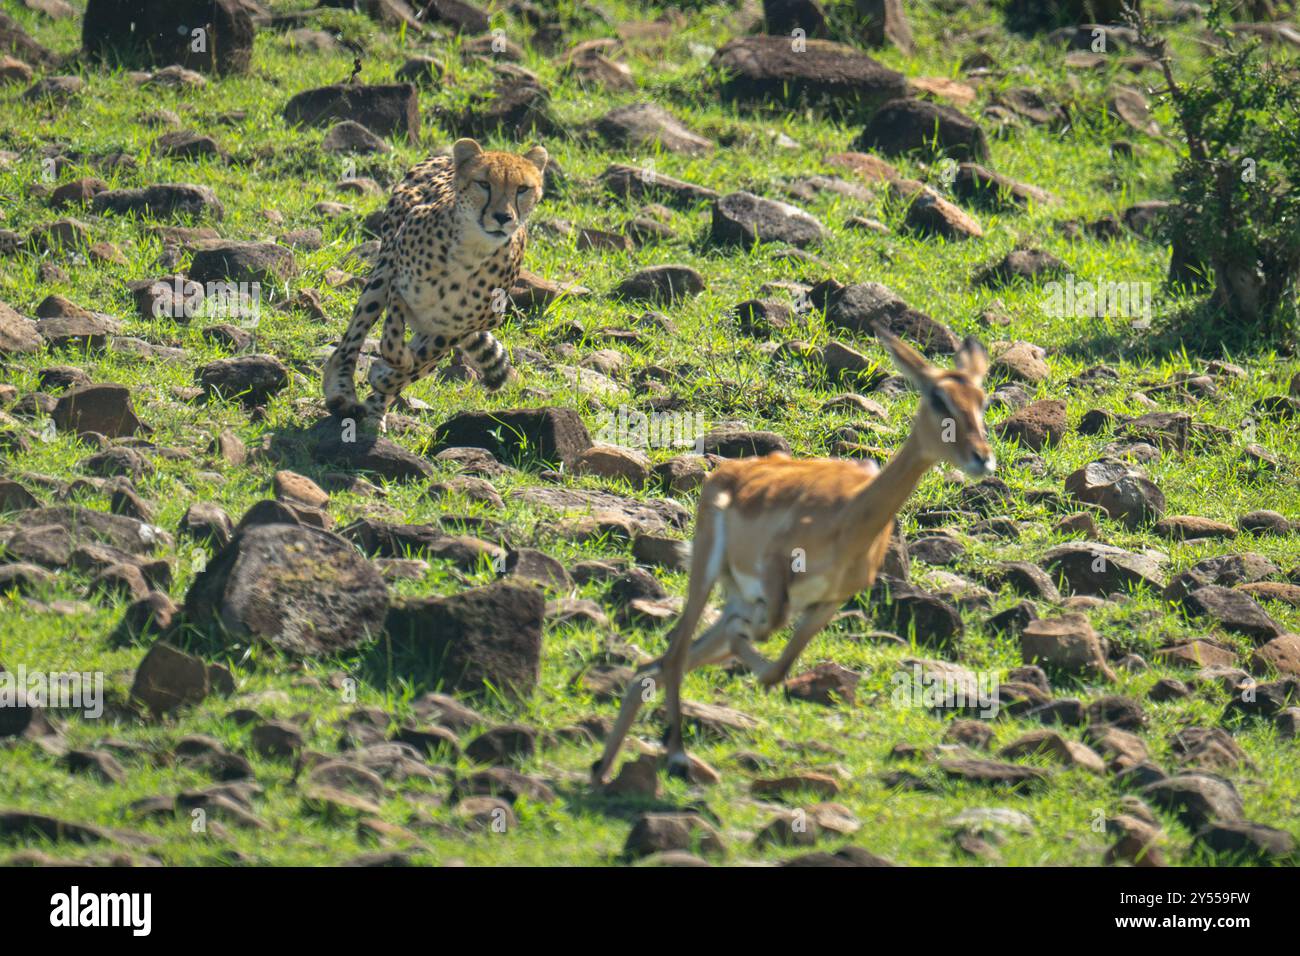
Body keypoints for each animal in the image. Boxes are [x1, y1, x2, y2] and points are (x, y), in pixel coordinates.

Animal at [322, 138, 547, 427]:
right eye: (484, 183)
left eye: (522, 189)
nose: (502, 217)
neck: (471, 251)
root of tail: (443, 158)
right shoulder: (396, 281)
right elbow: (392, 341)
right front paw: (390, 365)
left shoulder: (460, 326)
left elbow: (422, 361)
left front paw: (386, 377)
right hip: (381, 272)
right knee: (352, 338)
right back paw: (342, 392)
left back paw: (376, 410)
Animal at [592, 325, 995, 785]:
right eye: (938, 398)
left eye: (982, 400)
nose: (982, 458)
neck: (849, 518)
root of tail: (727, 472)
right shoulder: (777, 575)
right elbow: (763, 648)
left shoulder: (826, 604)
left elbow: (776, 670)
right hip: (707, 573)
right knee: (674, 654)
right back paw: (674, 753)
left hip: (736, 594)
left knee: (656, 664)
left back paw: (604, 768)